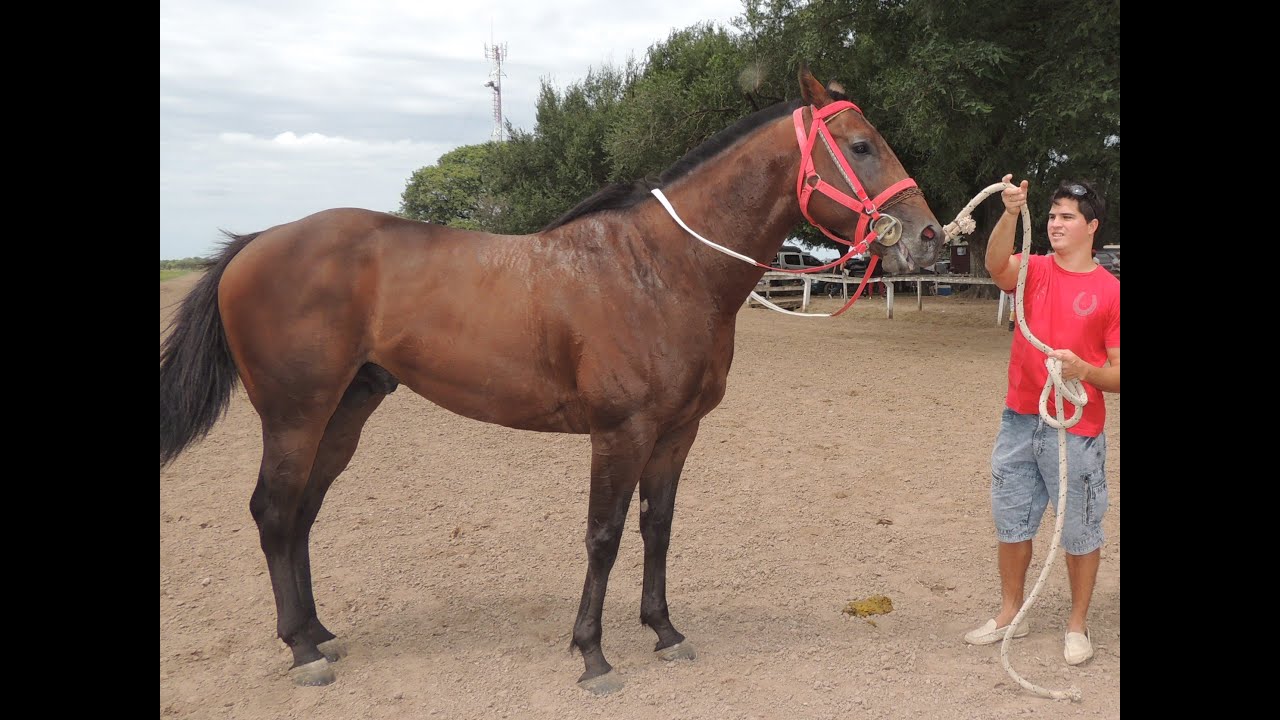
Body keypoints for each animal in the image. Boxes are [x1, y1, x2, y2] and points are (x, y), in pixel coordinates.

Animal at [159, 65, 943, 695]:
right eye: (862, 145)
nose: (931, 237)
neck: (662, 269)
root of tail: (256, 243)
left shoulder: (677, 433)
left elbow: (658, 528)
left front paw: (664, 632)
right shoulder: (620, 433)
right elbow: (604, 534)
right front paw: (593, 656)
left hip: (346, 411)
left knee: (302, 515)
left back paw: (319, 632)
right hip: (294, 414)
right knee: (272, 512)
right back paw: (301, 650)